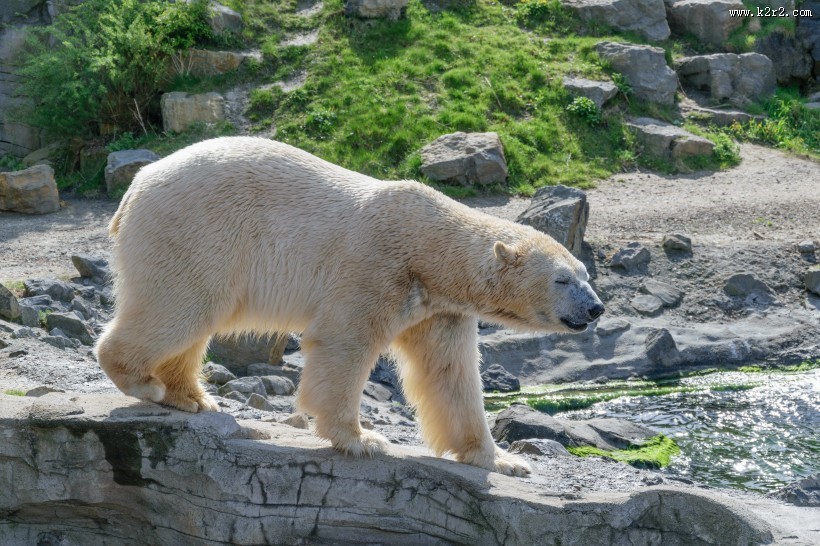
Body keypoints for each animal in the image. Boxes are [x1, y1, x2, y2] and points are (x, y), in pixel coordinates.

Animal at [95, 136, 604, 476]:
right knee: (178, 307)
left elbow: (450, 373)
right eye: (563, 279)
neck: (429, 250)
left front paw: (501, 460)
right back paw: (145, 382)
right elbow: (346, 343)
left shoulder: (439, 308)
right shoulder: (375, 265)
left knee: (193, 318)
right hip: (197, 232)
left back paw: (191, 397)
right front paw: (362, 439)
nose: (596, 309)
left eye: (585, 274)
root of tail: (135, 187)